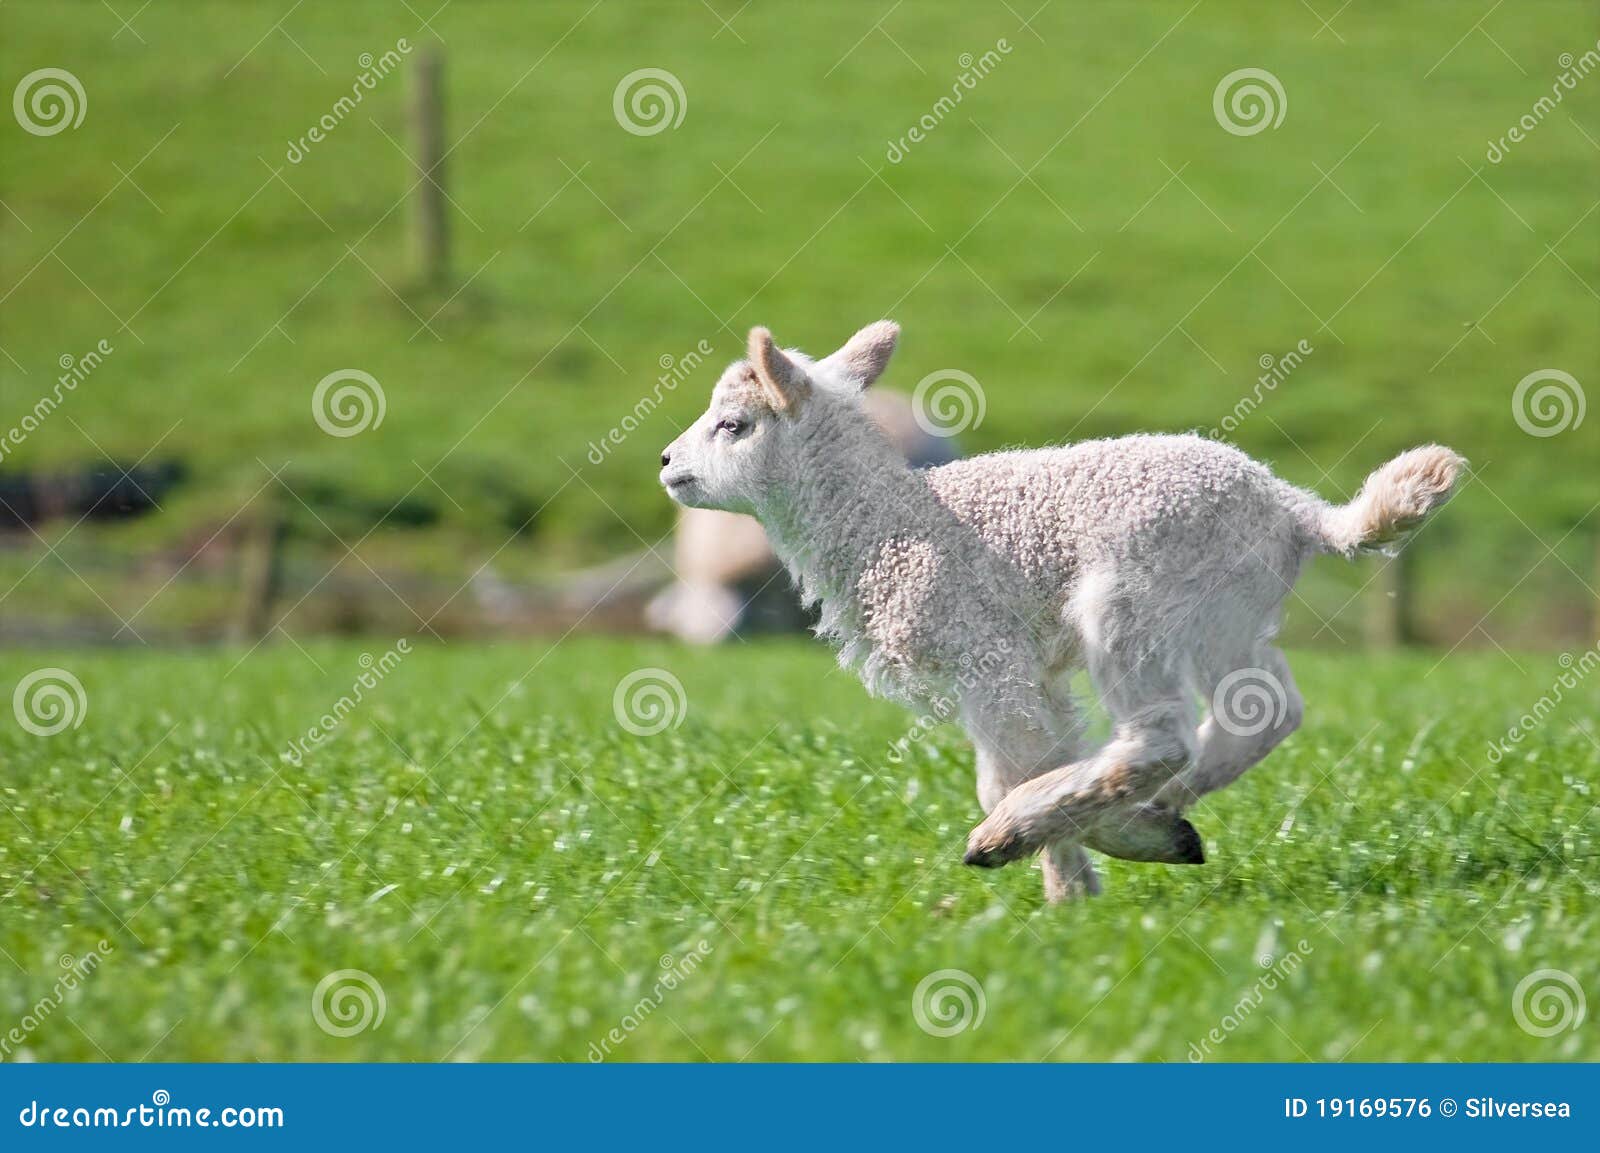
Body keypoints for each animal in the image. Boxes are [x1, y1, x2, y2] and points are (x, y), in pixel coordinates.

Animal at [659, 320, 1464, 901]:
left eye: (732, 424)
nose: (666, 463)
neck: (884, 523)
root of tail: (1295, 509)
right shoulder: (1025, 667)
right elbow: (1036, 758)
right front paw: (1080, 880)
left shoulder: (984, 648)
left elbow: (1009, 774)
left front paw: (1053, 875)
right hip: (1228, 614)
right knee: (1262, 711)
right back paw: (1161, 813)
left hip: (1131, 602)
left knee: (1159, 737)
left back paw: (1054, 829)